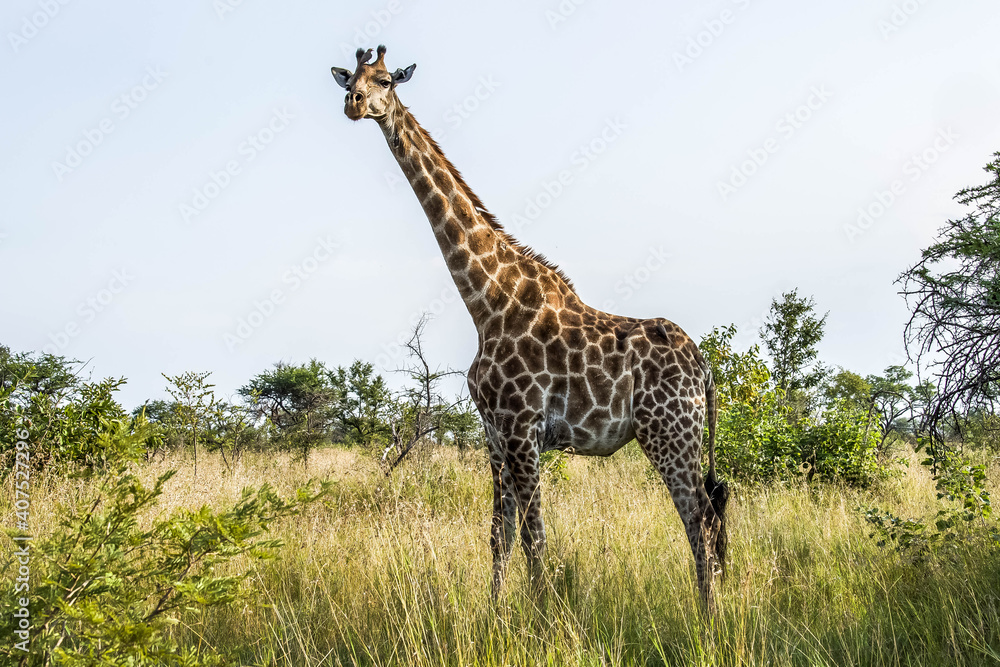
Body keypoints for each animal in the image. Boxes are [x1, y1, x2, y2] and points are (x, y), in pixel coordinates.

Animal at [331, 46, 729, 609]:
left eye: (385, 80)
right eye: (351, 79)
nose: (354, 103)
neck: (486, 302)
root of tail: (706, 368)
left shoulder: (522, 430)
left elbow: (534, 537)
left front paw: (543, 617)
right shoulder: (495, 436)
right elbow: (498, 536)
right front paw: (495, 614)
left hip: (669, 432)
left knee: (701, 519)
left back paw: (708, 616)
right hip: (681, 437)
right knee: (711, 517)